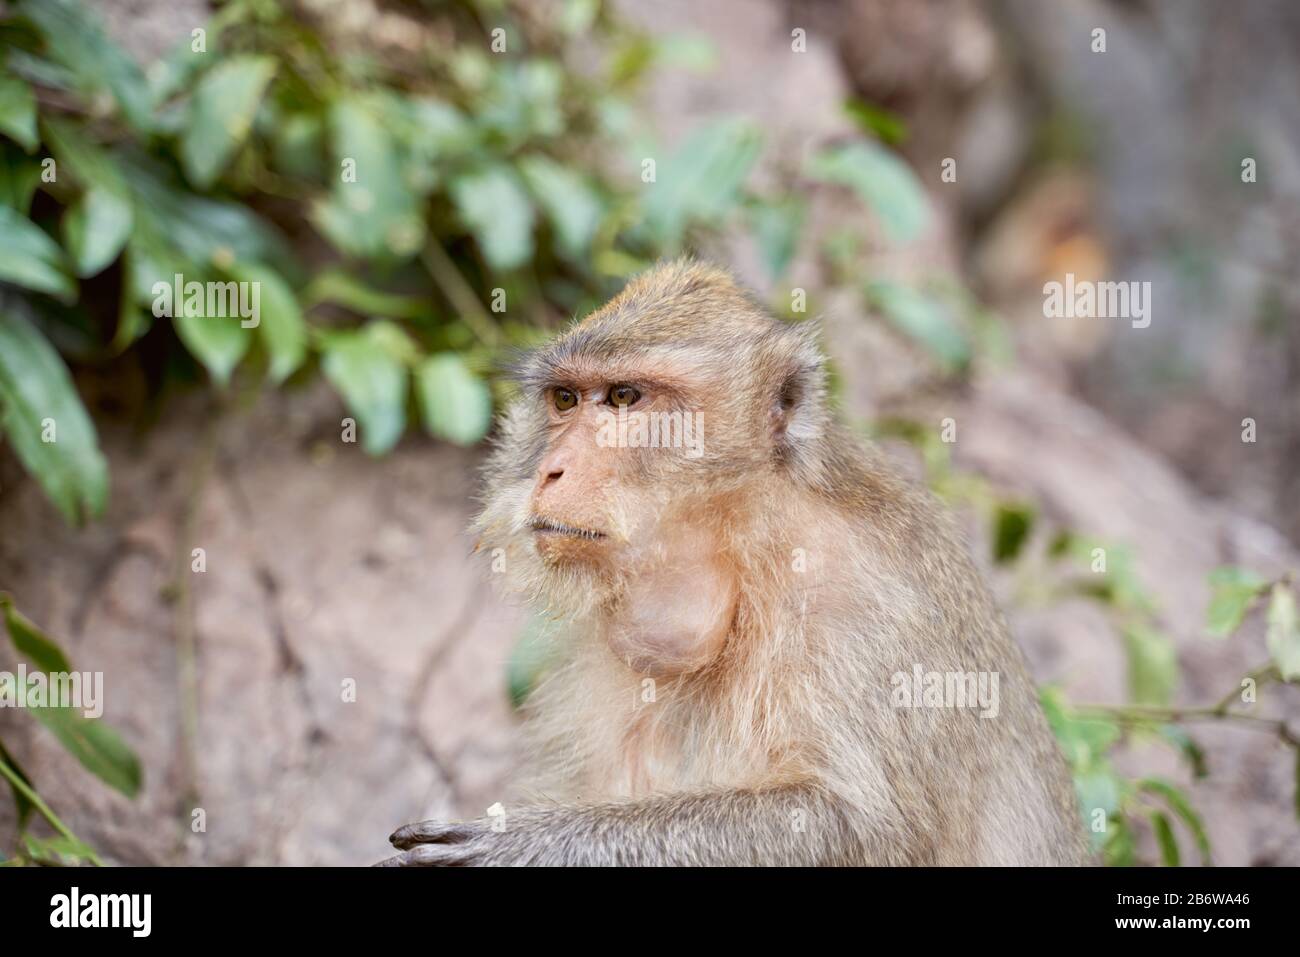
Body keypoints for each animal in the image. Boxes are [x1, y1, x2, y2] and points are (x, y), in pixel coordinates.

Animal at [381, 259, 1088, 866]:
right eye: (564, 401)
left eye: (624, 398)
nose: (550, 470)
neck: (744, 542)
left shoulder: (866, 609)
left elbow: (860, 827)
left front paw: (527, 846)